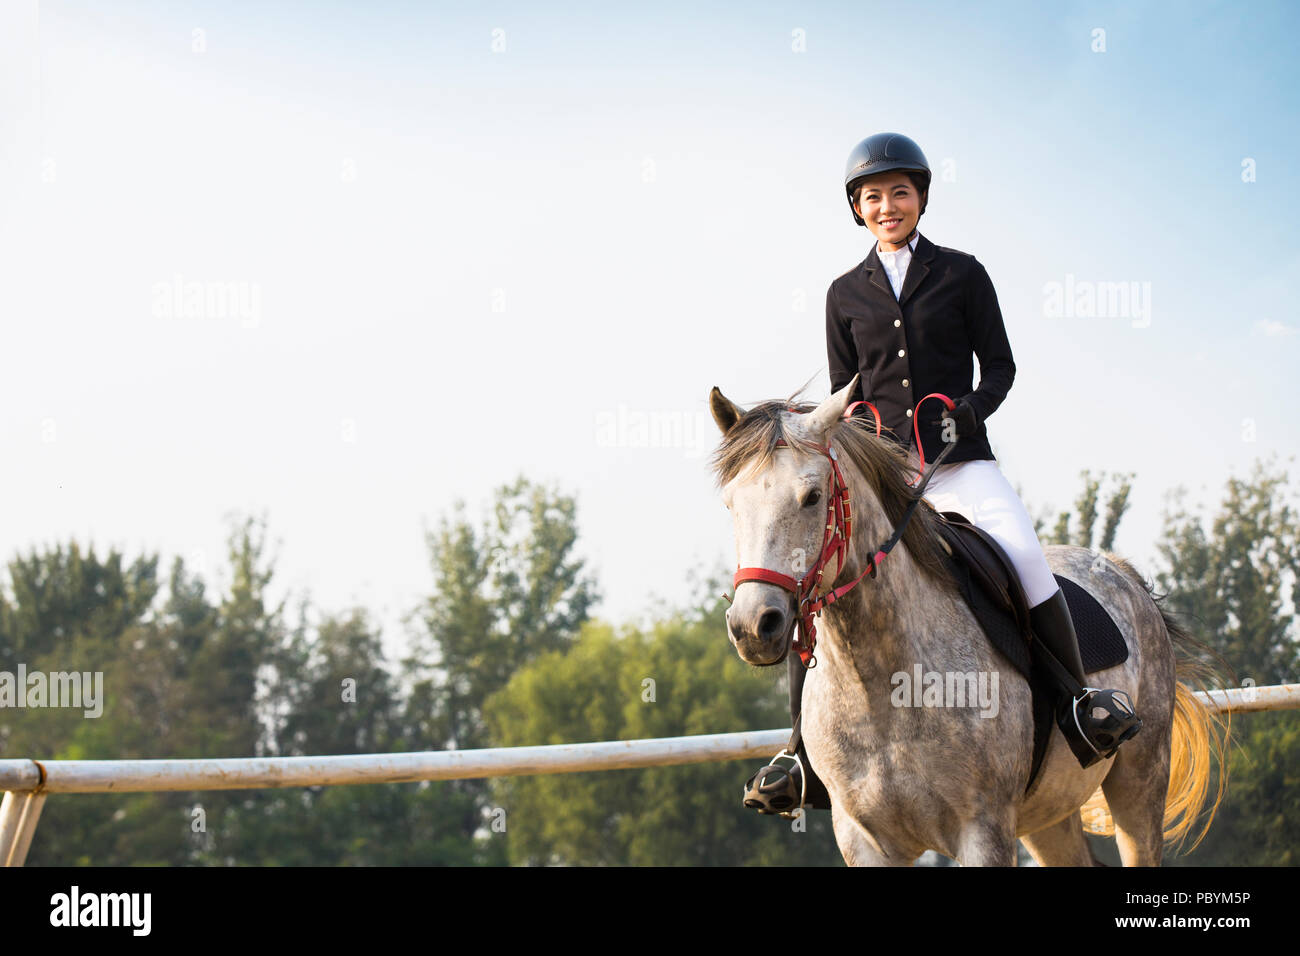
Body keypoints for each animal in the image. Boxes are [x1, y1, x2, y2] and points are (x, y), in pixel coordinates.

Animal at [709, 375, 1228, 866]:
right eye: (731, 504)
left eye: (813, 497)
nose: (753, 627)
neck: (882, 684)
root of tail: (1121, 571)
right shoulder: (862, 841)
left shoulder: (983, 830)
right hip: (1048, 815)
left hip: (1140, 779)